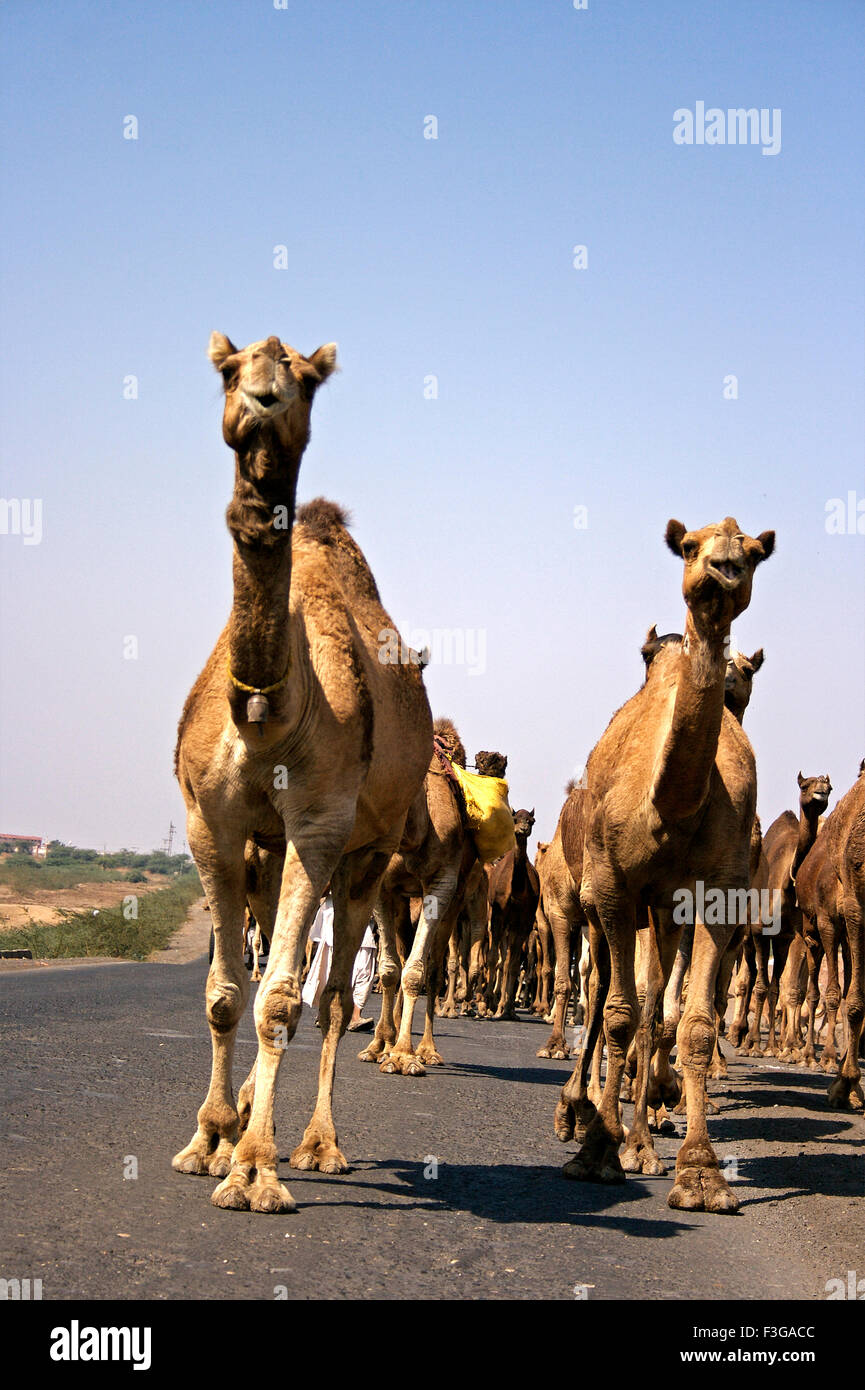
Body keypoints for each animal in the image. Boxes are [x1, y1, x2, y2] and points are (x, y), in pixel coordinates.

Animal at [172, 333, 432, 1214]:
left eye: (307, 382)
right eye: (227, 370)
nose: (262, 399)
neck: (273, 714)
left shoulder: (320, 826)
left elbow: (282, 997)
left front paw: (255, 1169)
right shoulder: (210, 824)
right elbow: (225, 994)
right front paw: (208, 1140)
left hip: (365, 856)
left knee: (336, 995)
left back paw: (317, 1143)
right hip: (271, 848)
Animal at [486, 810, 540, 1020]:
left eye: (531, 821)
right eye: (515, 819)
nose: (522, 829)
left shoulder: (524, 922)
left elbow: (514, 964)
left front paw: (508, 1009)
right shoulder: (498, 917)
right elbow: (493, 958)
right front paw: (487, 1005)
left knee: (509, 961)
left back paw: (504, 1006)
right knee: (500, 958)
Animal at [556, 516, 774, 1213]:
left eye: (752, 553)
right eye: (689, 546)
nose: (722, 569)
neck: (672, 807)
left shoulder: (717, 892)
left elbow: (692, 1024)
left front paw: (698, 1174)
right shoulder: (614, 889)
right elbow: (619, 1014)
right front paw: (598, 1153)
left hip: (665, 911)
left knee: (655, 1006)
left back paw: (642, 1137)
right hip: (601, 902)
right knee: (603, 995)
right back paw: (580, 1116)